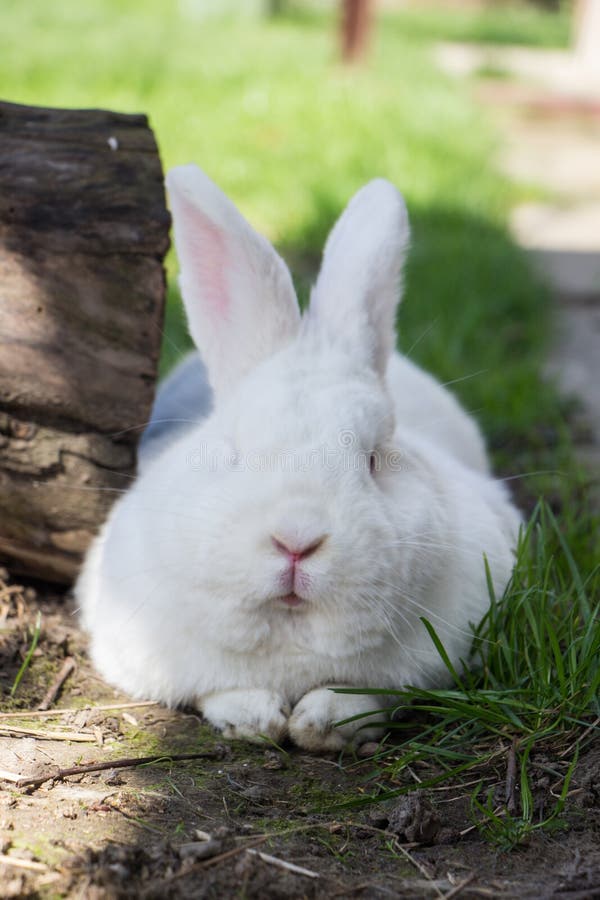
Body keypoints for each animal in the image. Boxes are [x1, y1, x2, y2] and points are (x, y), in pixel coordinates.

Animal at [76, 165, 521, 751]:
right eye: (232, 453)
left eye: (375, 459)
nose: (296, 542)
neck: (292, 639)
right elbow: (220, 690)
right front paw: (254, 719)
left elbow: (369, 696)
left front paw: (323, 723)